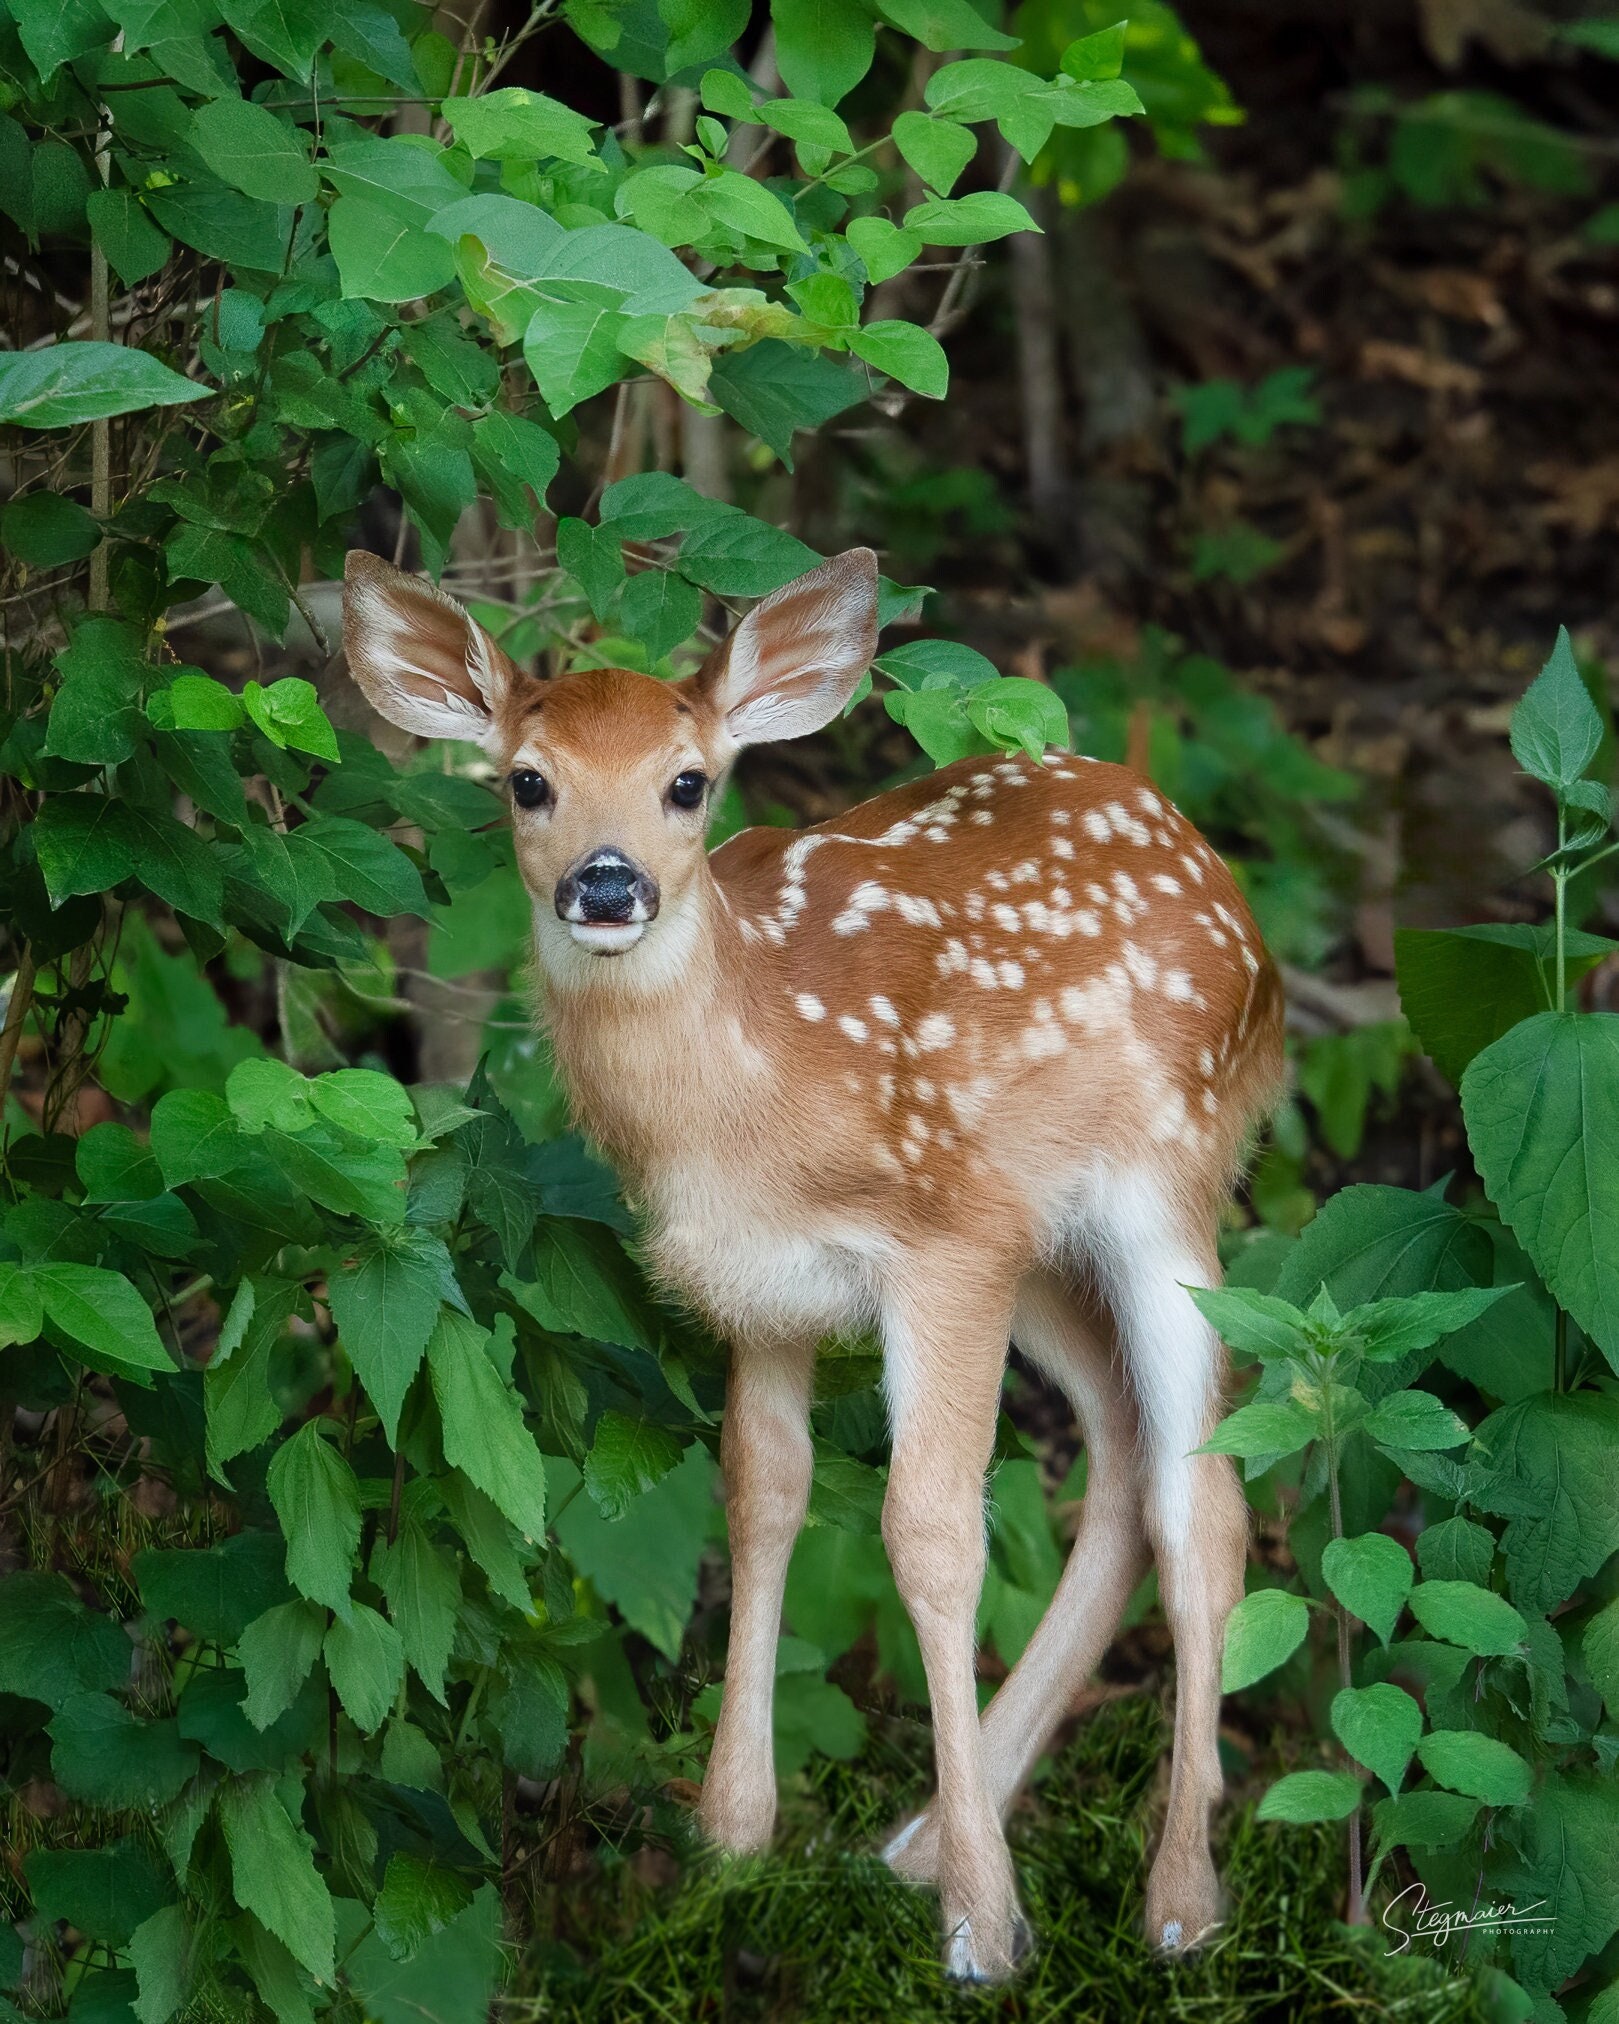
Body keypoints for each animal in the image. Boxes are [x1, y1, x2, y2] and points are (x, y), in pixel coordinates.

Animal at [341, 544, 1285, 1984]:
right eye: (527, 779)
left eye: (687, 781)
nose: (605, 884)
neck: (753, 1089)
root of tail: (1212, 867)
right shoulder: (768, 1285)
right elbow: (761, 1495)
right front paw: (733, 1838)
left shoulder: (943, 1242)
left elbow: (931, 1534)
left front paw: (983, 1931)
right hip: (1041, 1251)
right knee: (1125, 1456)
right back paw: (921, 1839)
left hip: (1166, 1182)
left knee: (1203, 1501)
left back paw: (1174, 1901)